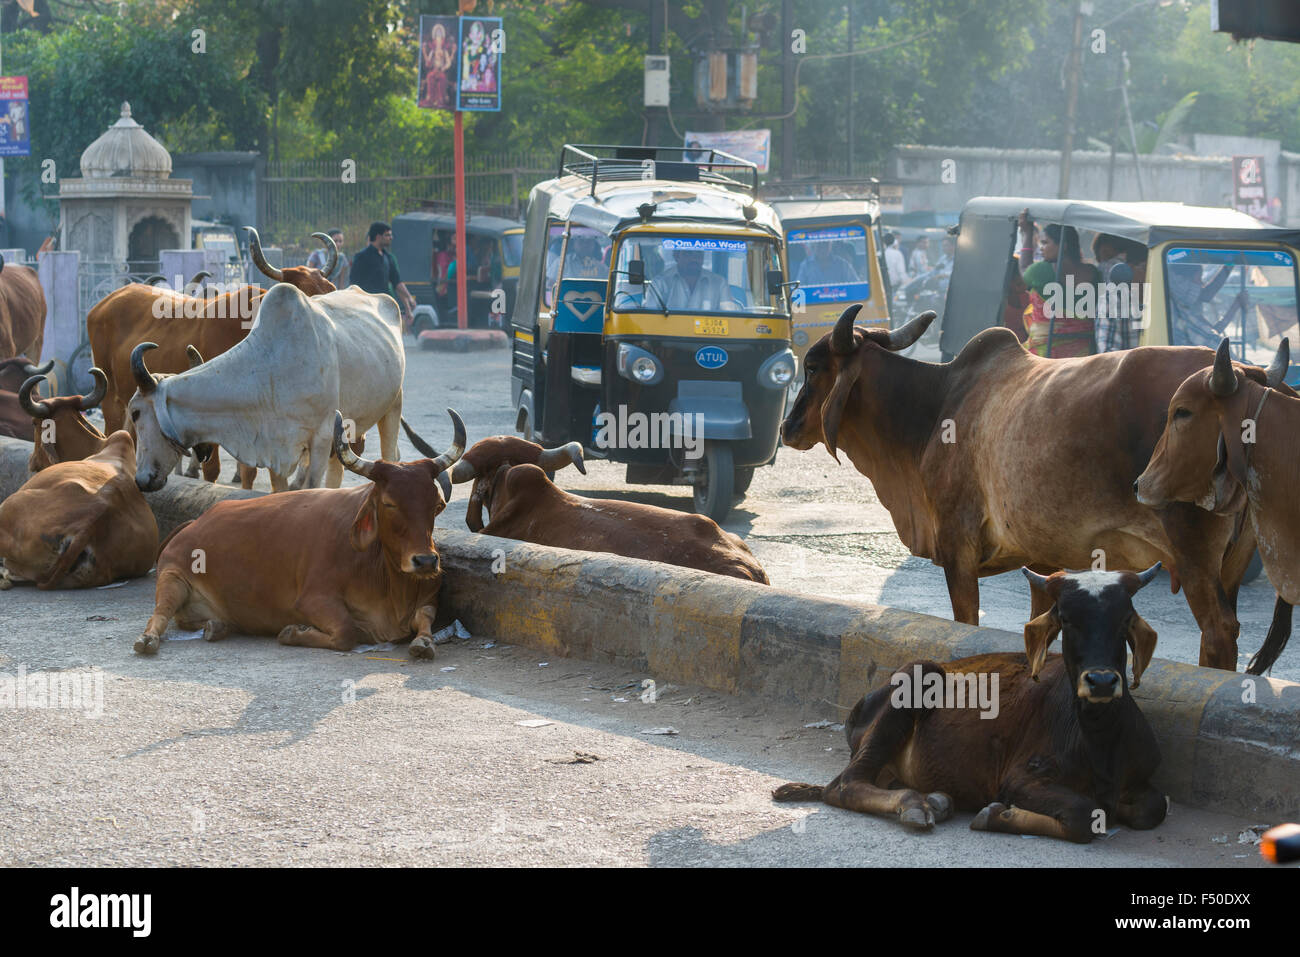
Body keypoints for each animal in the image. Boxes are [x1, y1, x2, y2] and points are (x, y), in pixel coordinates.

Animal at [129, 281, 405, 493]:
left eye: (135, 413)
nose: (141, 480)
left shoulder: (323, 436)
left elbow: (311, 487)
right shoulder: (275, 448)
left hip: (393, 407)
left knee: (389, 454)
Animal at [135, 410, 464, 658]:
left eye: (436, 504)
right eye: (389, 503)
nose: (426, 561)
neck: (384, 573)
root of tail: (193, 522)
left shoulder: (429, 597)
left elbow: (424, 619)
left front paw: (424, 642)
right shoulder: (312, 600)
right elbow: (347, 633)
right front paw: (293, 632)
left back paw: (218, 626)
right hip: (173, 577)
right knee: (160, 614)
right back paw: (149, 639)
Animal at [773, 565, 1167, 843]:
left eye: (1124, 619)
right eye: (1067, 619)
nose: (1101, 681)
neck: (1100, 739)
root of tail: (864, 700)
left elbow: (1155, 807)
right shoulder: (1020, 777)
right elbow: (1084, 815)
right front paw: (997, 814)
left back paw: (936, 801)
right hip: (916, 676)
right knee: (844, 786)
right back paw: (915, 805)